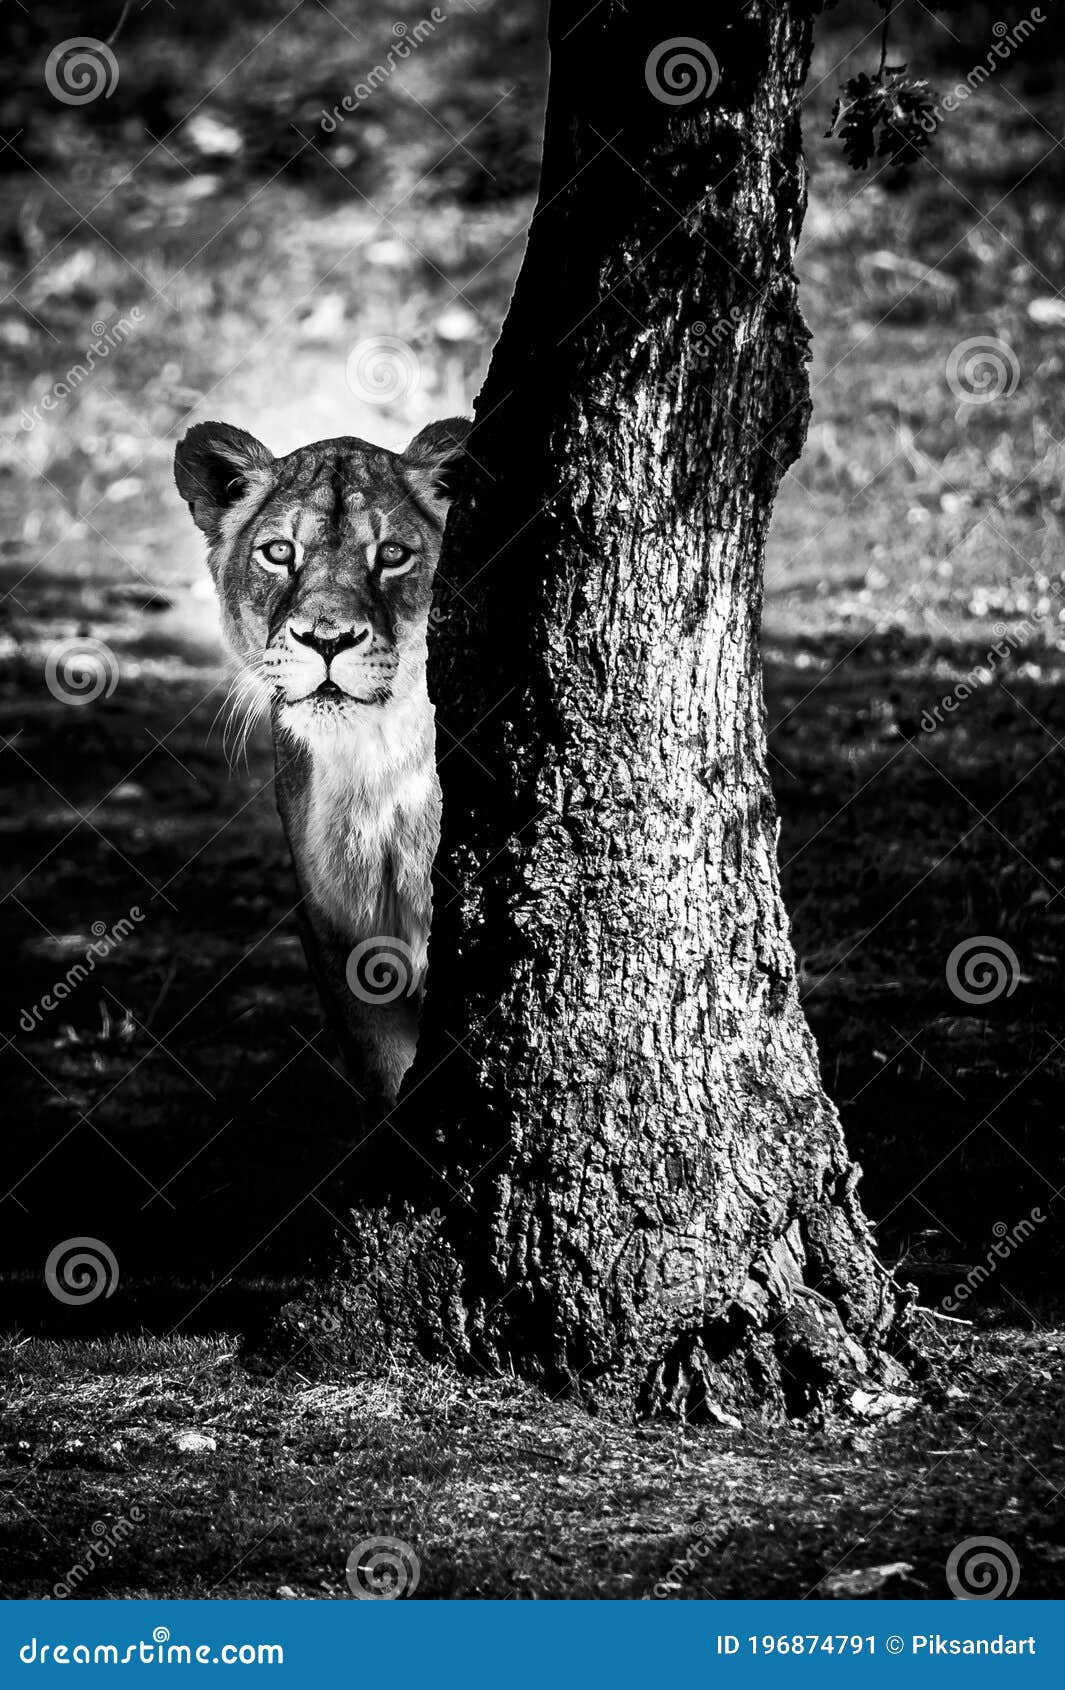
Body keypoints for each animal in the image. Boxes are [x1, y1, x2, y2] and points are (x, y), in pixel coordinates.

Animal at [173, 417, 469, 1105]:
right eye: (280, 552)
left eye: (392, 555)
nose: (326, 639)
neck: (376, 763)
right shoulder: (336, 938)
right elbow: (386, 1085)